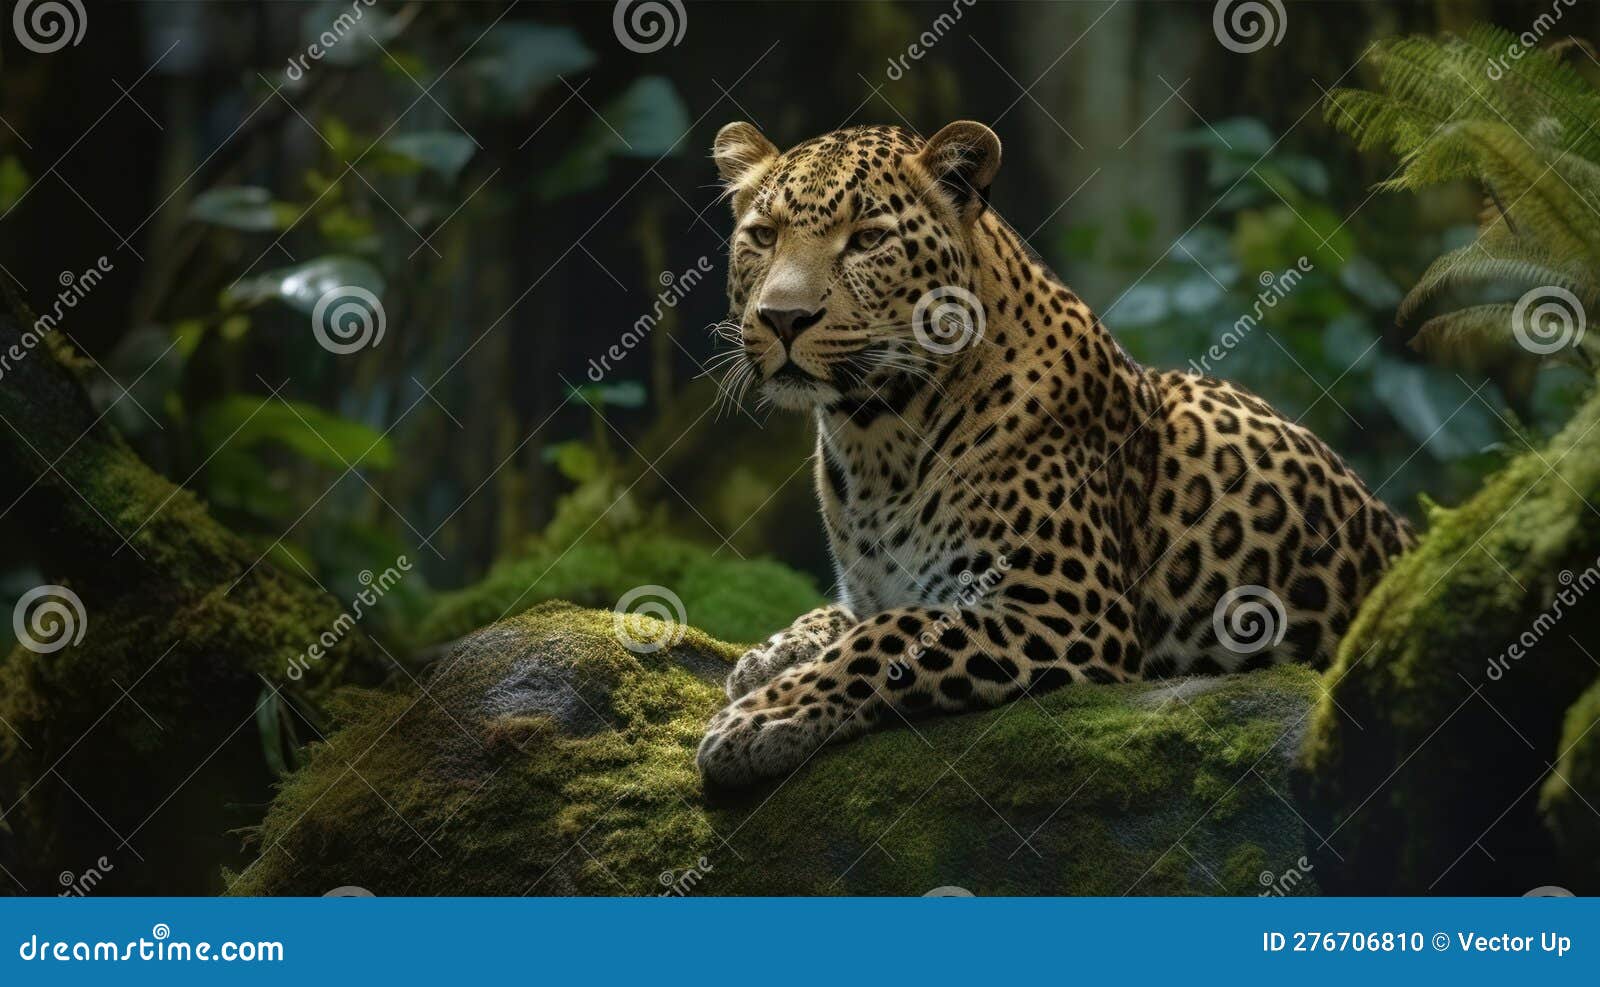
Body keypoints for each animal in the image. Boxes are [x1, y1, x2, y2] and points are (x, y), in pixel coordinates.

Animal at [696, 120, 1414, 787]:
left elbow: (890, 634)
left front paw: (762, 719)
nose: (783, 317)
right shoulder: (878, 583)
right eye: (764, 236)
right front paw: (771, 653)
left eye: (869, 240)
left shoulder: (1065, 610)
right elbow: (846, 614)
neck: (874, 438)